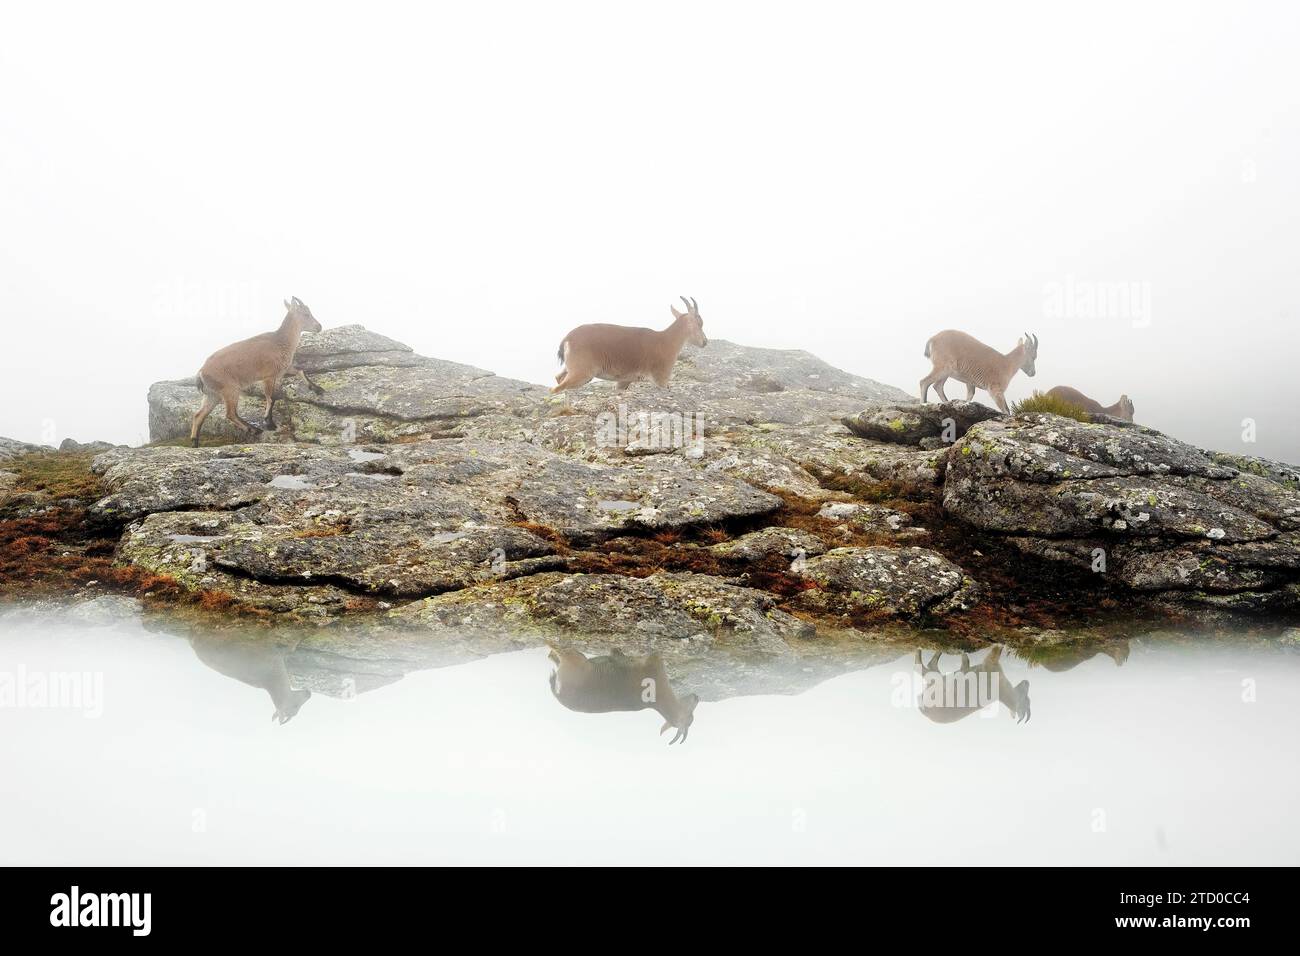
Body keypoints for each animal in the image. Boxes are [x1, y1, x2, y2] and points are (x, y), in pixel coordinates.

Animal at [190, 297, 325, 446]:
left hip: (212, 395)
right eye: (306, 314)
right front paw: (269, 423)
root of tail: (201, 372)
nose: (319, 327)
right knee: (230, 414)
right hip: (230, 390)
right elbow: (271, 398)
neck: (280, 342)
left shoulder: (284, 369)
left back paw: (195, 442)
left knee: (199, 415)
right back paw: (253, 430)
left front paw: (318, 389)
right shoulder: (268, 376)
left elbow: (301, 371)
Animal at [552, 296, 708, 393]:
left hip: (571, 368)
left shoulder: (624, 381)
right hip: (582, 372)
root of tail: (567, 339)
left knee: (558, 378)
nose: (705, 342)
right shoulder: (661, 378)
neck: (666, 341)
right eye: (700, 323)